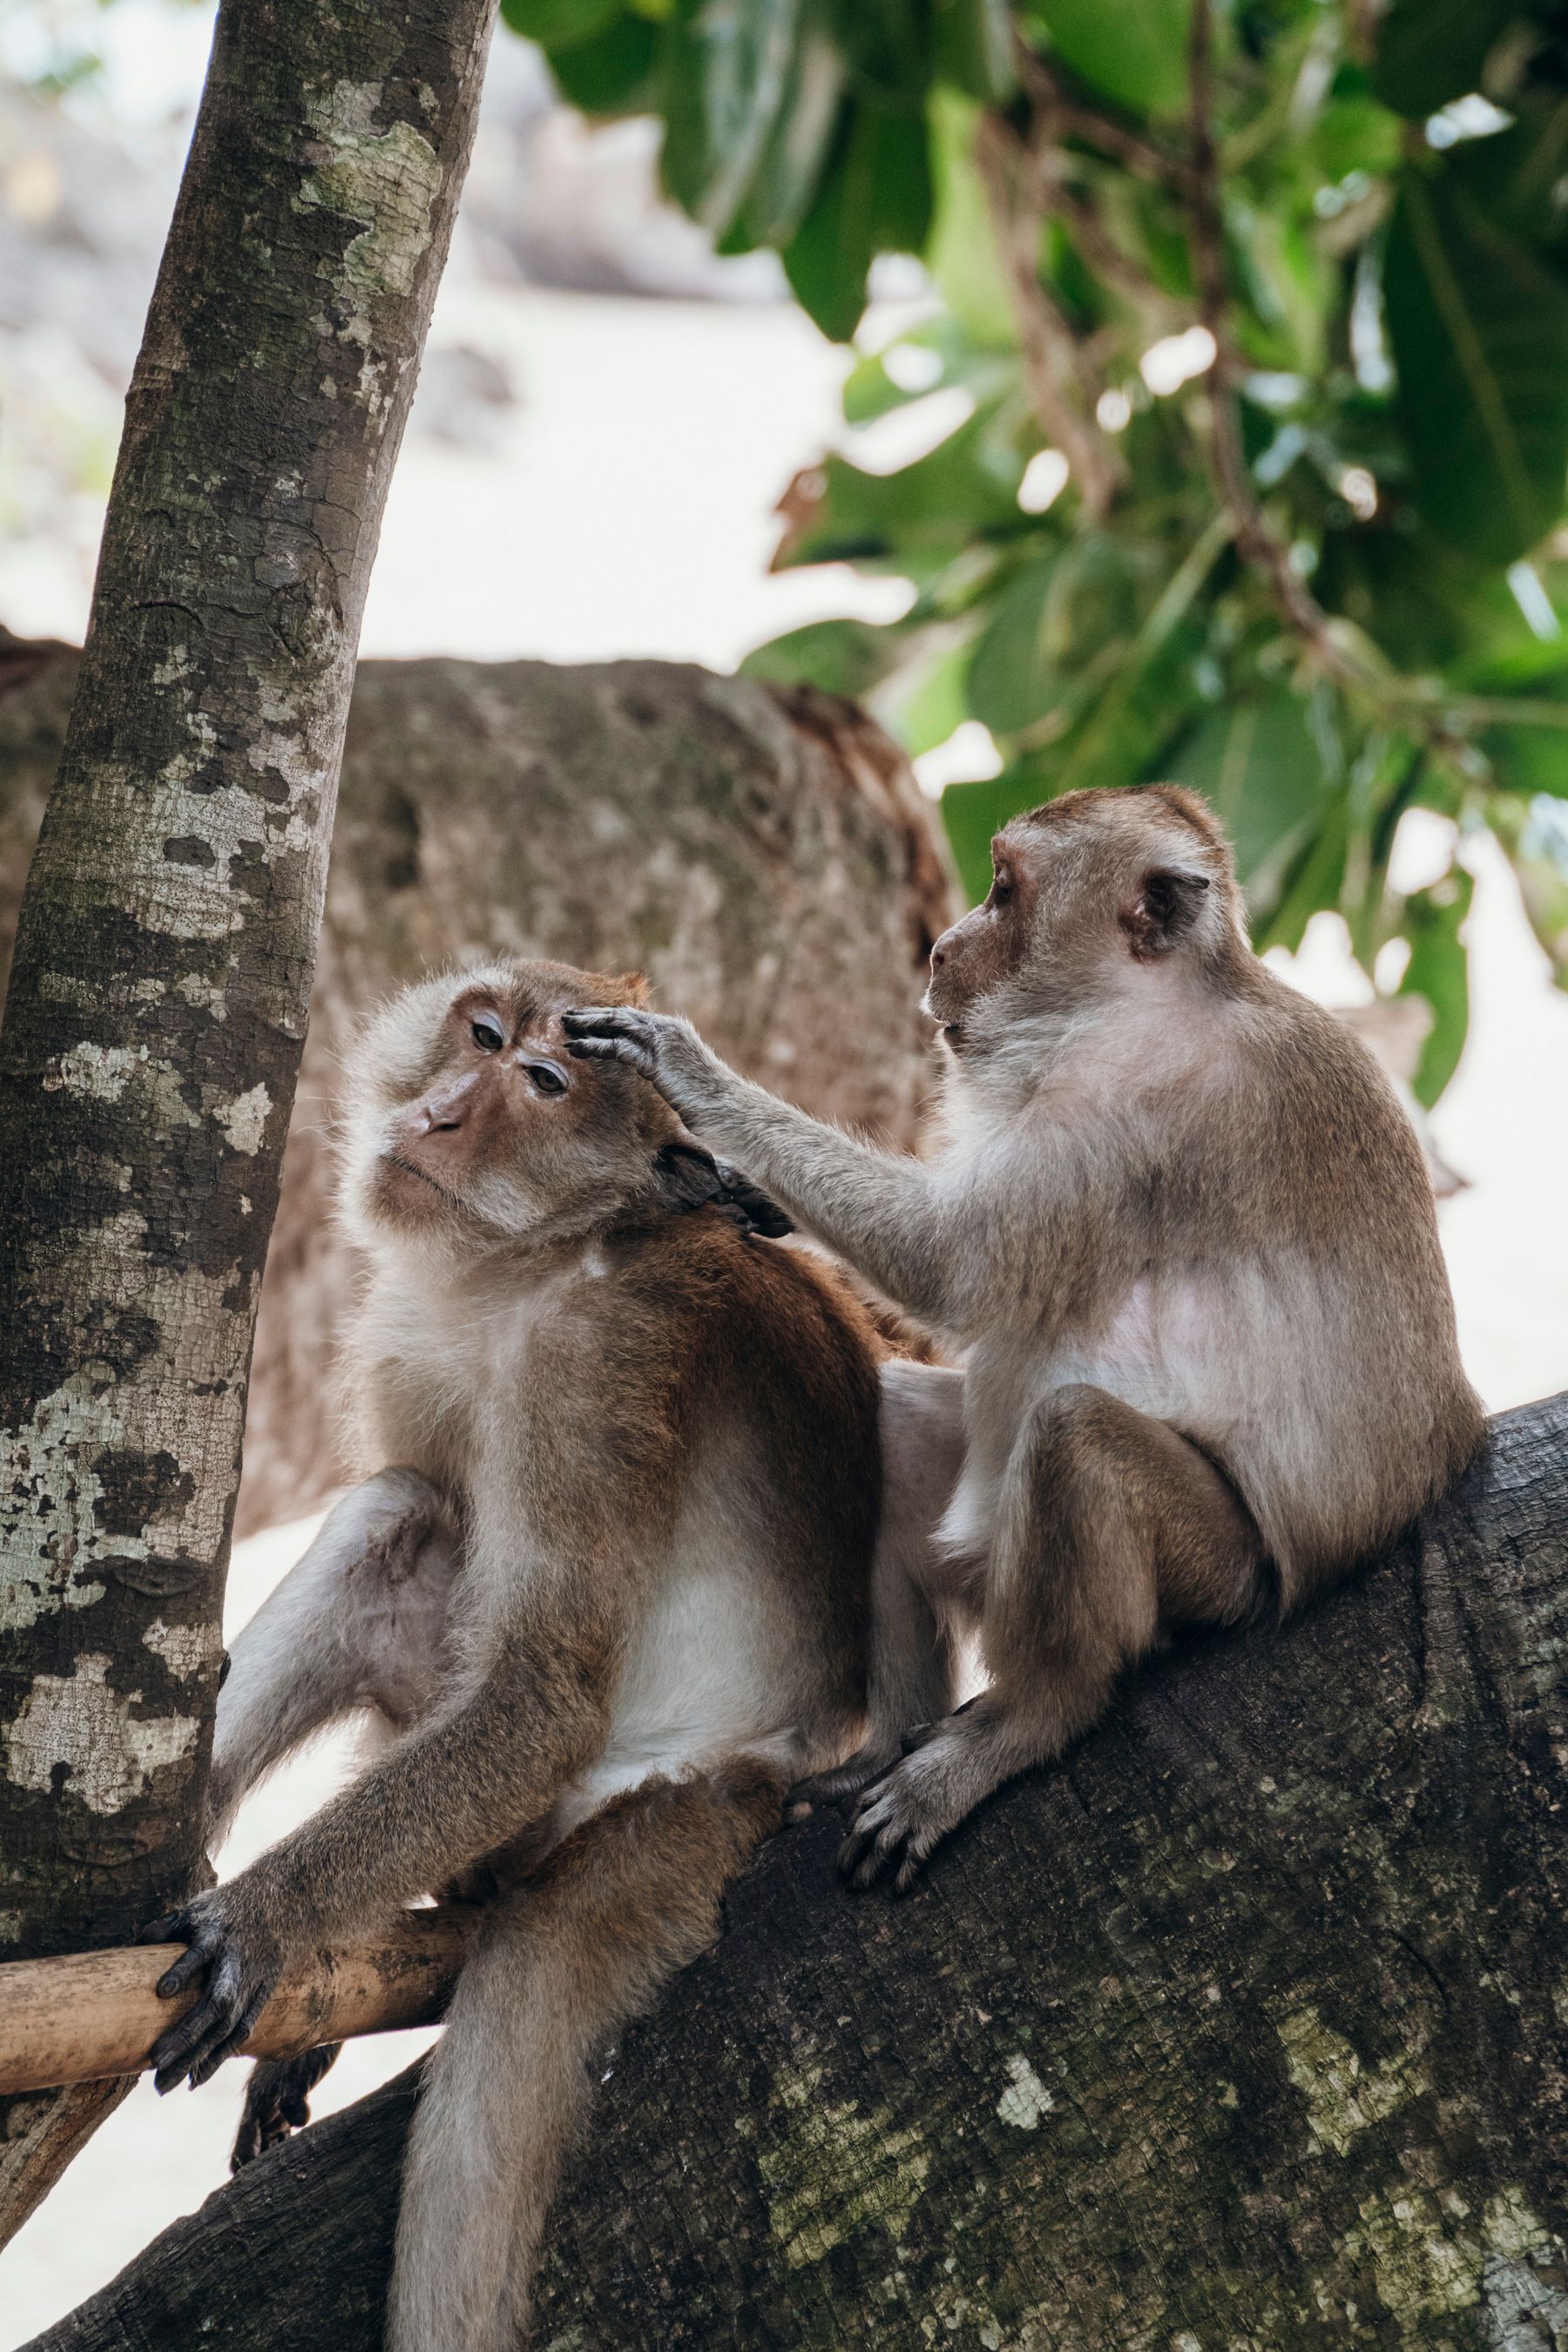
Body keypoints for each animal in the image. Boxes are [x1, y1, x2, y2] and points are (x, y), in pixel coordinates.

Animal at [141, 956, 904, 2350]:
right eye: (483, 1036)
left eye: (544, 1083)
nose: (441, 1111)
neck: (535, 1262)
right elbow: (428, 1510)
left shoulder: (594, 1375)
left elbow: (543, 1697)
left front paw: (269, 1920)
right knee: (400, 1512)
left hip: (647, 1827)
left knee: (513, 2030)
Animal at [563, 783, 1486, 1892]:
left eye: (1004, 890)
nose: (941, 947)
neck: (1158, 998)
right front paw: (751, 1189)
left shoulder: (1134, 1103)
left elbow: (954, 1266)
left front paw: (685, 1065)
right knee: (894, 1433)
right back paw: (885, 1742)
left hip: (1231, 1581)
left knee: (1073, 1436)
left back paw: (1027, 1720)